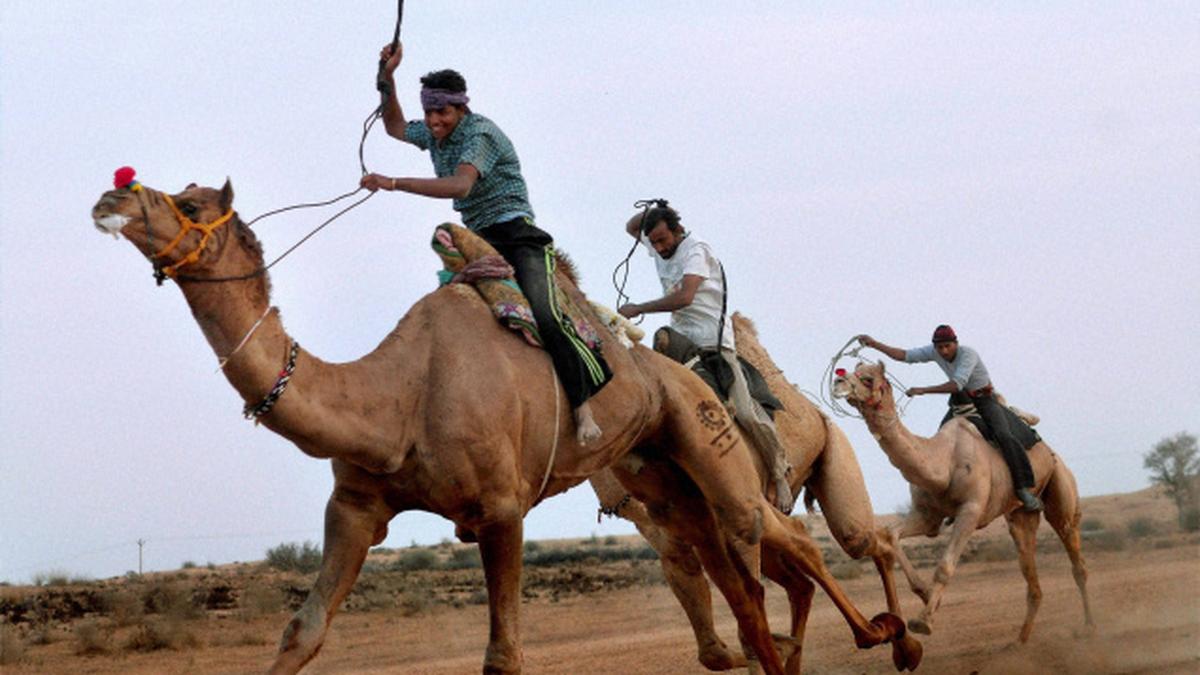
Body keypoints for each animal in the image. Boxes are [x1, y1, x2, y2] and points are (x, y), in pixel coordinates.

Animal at [590, 313, 918, 673]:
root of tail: (815, 411)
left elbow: (748, 622)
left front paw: (776, 646)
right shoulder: (670, 543)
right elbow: (713, 651)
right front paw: (778, 646)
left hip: (832, 459)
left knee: (861, 540)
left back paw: (904, 647)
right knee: (801, 584)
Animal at [832, 361, 1094, 642]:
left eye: (868, 379)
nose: (838, 382)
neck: (942, 463)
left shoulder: (971, 511)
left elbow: (944, 566)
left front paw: (923, 621)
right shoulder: (927, 516)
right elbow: (891, 534)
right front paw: (925, 593)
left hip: (1060, 488)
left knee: (1075, 556)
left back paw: (1088, 625)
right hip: (1020, 515)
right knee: (1029, 570)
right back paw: (1021, 640)